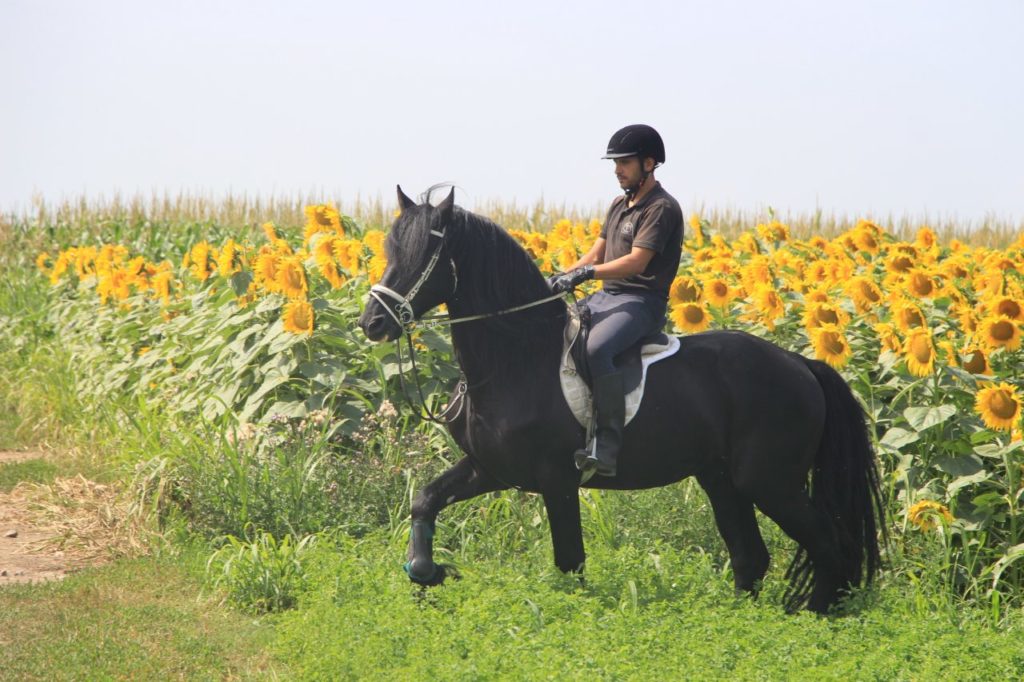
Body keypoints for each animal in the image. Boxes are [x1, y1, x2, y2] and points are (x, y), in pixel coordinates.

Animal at [356, 186, 884, 610]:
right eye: (389, 247)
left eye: (425, 253)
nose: (372, 323)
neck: (516, 359)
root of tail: (802, 365)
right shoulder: (492, 469)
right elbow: (424, 501)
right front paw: (430, 572)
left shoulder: (556, 478)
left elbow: (569, 560)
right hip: (723, 480)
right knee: (751, 557)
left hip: (770, 481)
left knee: (829, 544)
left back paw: (814, 620)